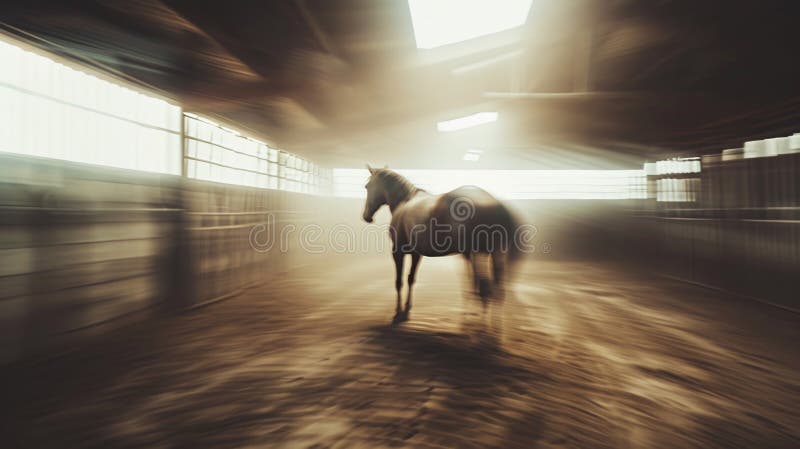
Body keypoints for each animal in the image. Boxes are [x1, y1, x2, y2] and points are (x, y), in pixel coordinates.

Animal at [362, 165, 522, 324]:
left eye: (367, 186)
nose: (366, 216)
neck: (405, 201)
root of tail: (495, 203)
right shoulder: (416, 254)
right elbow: (410, 279)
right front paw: (407, 309)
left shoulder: (397, 252)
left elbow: (399, 282)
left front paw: (398, 312)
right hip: (495, 254)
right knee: (495, 291)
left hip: (478, 254)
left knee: (485, 289)